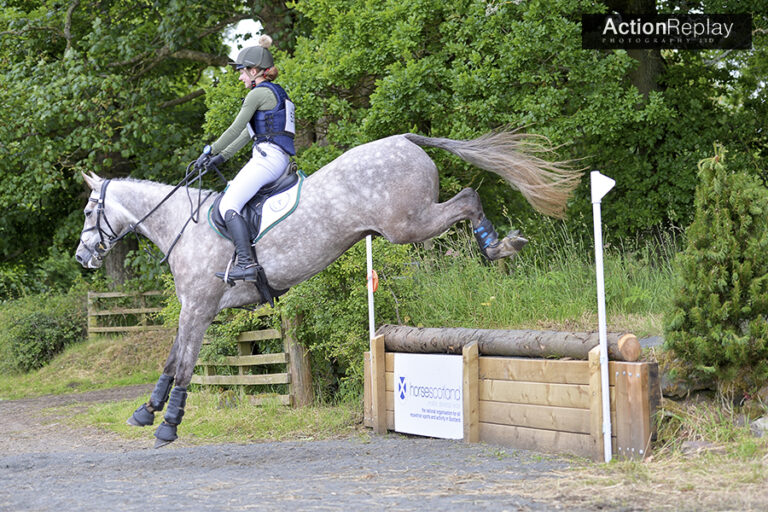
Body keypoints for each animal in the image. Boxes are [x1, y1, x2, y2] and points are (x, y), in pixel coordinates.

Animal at [75, 131, 581, 447]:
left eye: (88, 212)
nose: (82, 259)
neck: (184, 224)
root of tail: (404, 139)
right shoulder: (193, 309)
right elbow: (171, 359)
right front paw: (146, 411)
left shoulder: (199, 308)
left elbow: (184, 366)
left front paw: (168, 425)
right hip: (408, 222)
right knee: (467, 199)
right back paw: (498, 245)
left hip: (407, 224)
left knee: (469, 198)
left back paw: (498, 247)